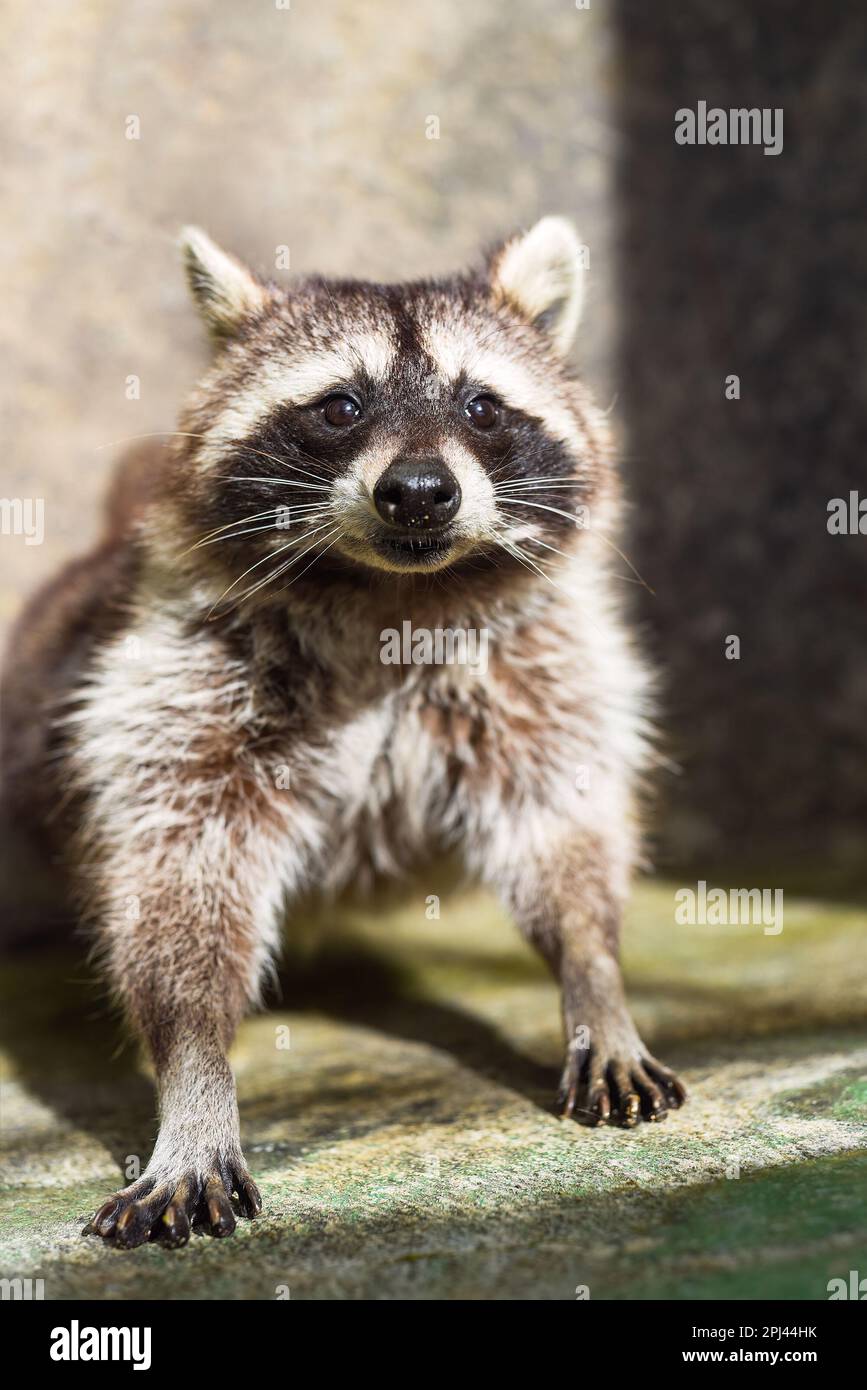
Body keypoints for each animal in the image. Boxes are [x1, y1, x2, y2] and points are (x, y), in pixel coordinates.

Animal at [1, 217, 685, 1248]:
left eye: (481, 405)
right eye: (340, 406)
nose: (420, 491)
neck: (391, 594)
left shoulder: (537, 671)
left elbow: (560, 832)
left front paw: (593, 979)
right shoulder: (180, 679)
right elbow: (177, 887)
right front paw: (195, 1082)